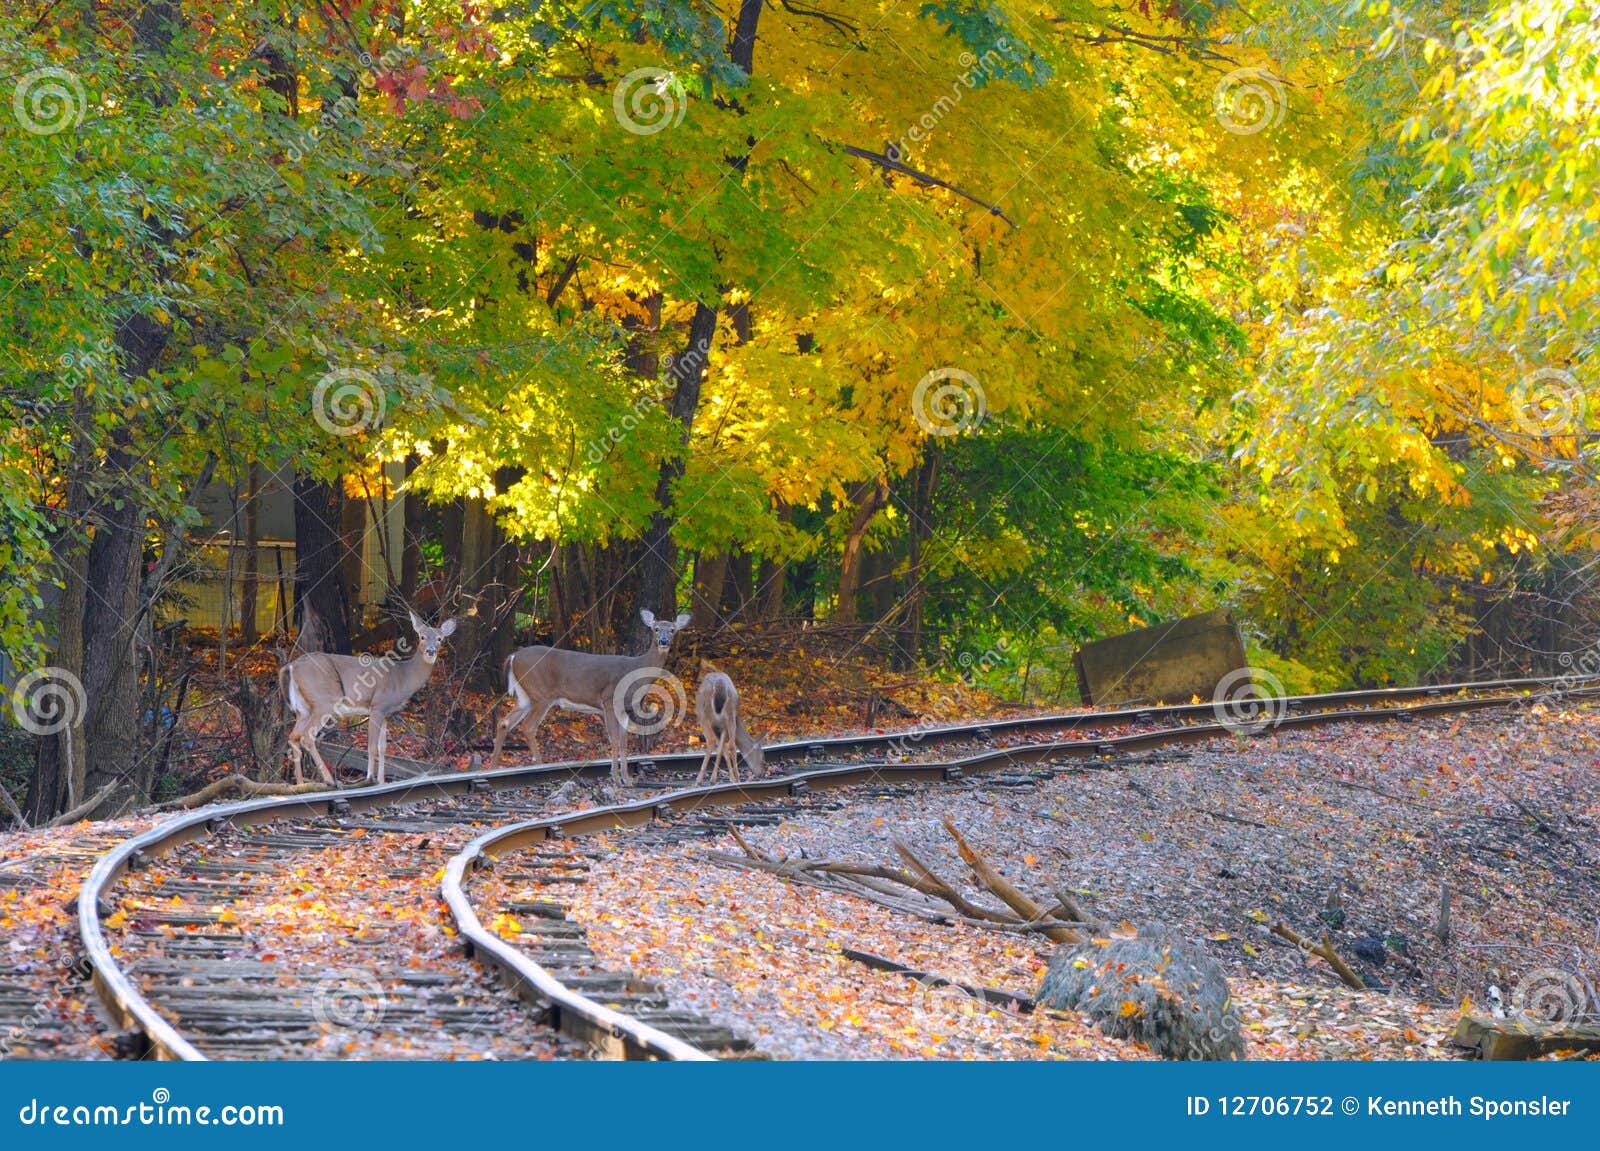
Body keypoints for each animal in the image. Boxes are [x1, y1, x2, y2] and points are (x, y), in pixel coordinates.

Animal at [279, 611, 457, 786]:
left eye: (440, 638)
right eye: (422, 636)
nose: (431, 651)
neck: (403, 677)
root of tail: (290, 666)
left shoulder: (386, 713)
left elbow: (382, 748)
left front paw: (382, 781)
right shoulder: (378, 705)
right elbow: (371, 746)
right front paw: (369, 778)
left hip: (303, 709)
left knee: (293, 737)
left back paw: (301, 784)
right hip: (323, 701)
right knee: (306, 737)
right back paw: (329, 781)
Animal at [486, 609, 691, 785]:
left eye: (672, 630)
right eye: (656, 628)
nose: (663, 641)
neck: (636, 670)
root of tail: (513, 656)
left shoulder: (625, 708)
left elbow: (624, 741)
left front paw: (627, 779)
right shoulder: (609, 700)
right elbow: (614, 739)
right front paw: (616, 777)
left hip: (525, 696)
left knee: (504, 722)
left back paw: (493, 768)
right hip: (542, 693)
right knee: (528, 726)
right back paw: (539, 766)